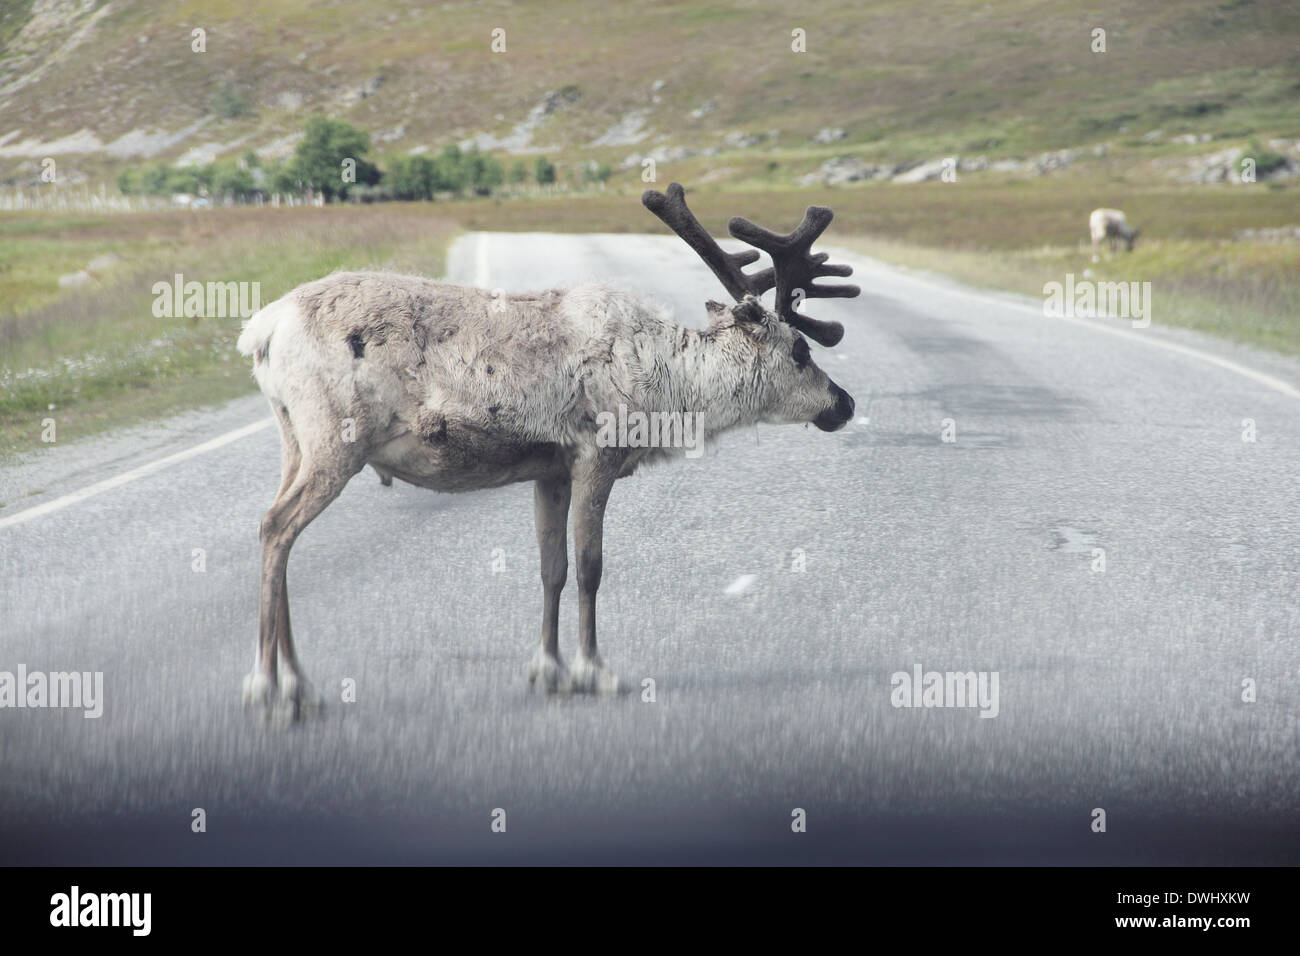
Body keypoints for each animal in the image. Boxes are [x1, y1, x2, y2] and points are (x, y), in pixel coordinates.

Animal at [235, 182, 860, 718]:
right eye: (801, 350)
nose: (845, 403)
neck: (670, 383)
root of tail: (262, 330)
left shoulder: (550, 471)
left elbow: (550, 568)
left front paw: (549, 669)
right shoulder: (595, 456)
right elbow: (589, 567)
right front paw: (593, 671)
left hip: (294, 441)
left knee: (278, 531)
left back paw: (299, 684)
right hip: (333, 443)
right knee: (276, 526)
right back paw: (271, 686)